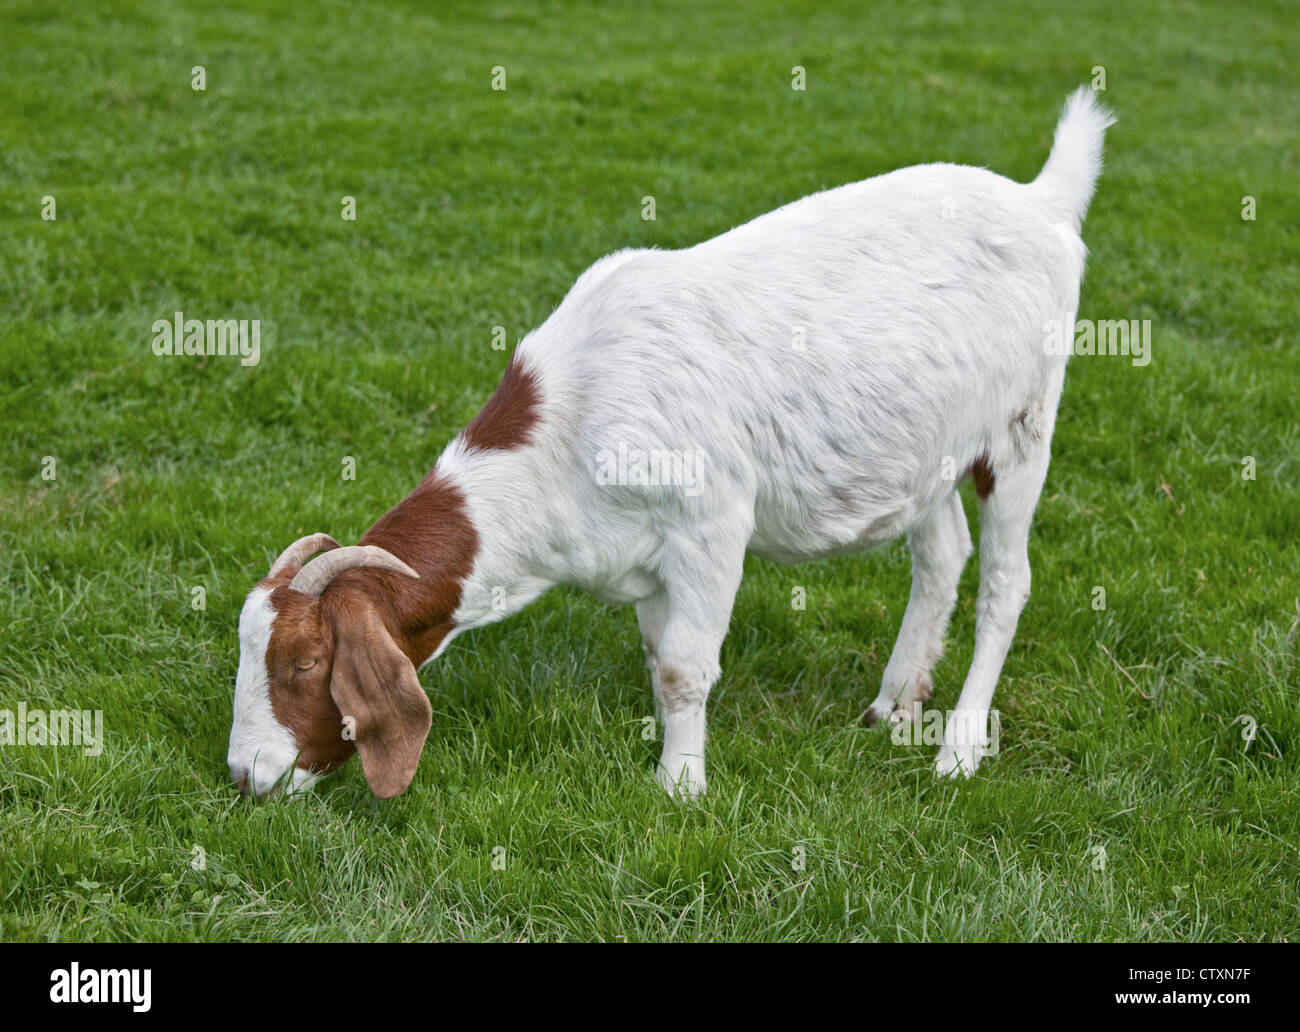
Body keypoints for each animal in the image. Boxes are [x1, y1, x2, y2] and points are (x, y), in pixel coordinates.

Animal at [228, 88, 1114, 800]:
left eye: (304, 663)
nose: (244, 774)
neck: (569, 431)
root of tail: (1040, 199)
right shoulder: (641, 556)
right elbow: (660, 659)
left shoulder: (710, 523)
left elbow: (687, 667)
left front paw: (681, 788)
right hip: (925, 447)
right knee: (941, 554)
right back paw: (896, 705)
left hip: (1025, 424)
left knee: (1005, 581)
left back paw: (958, 748)